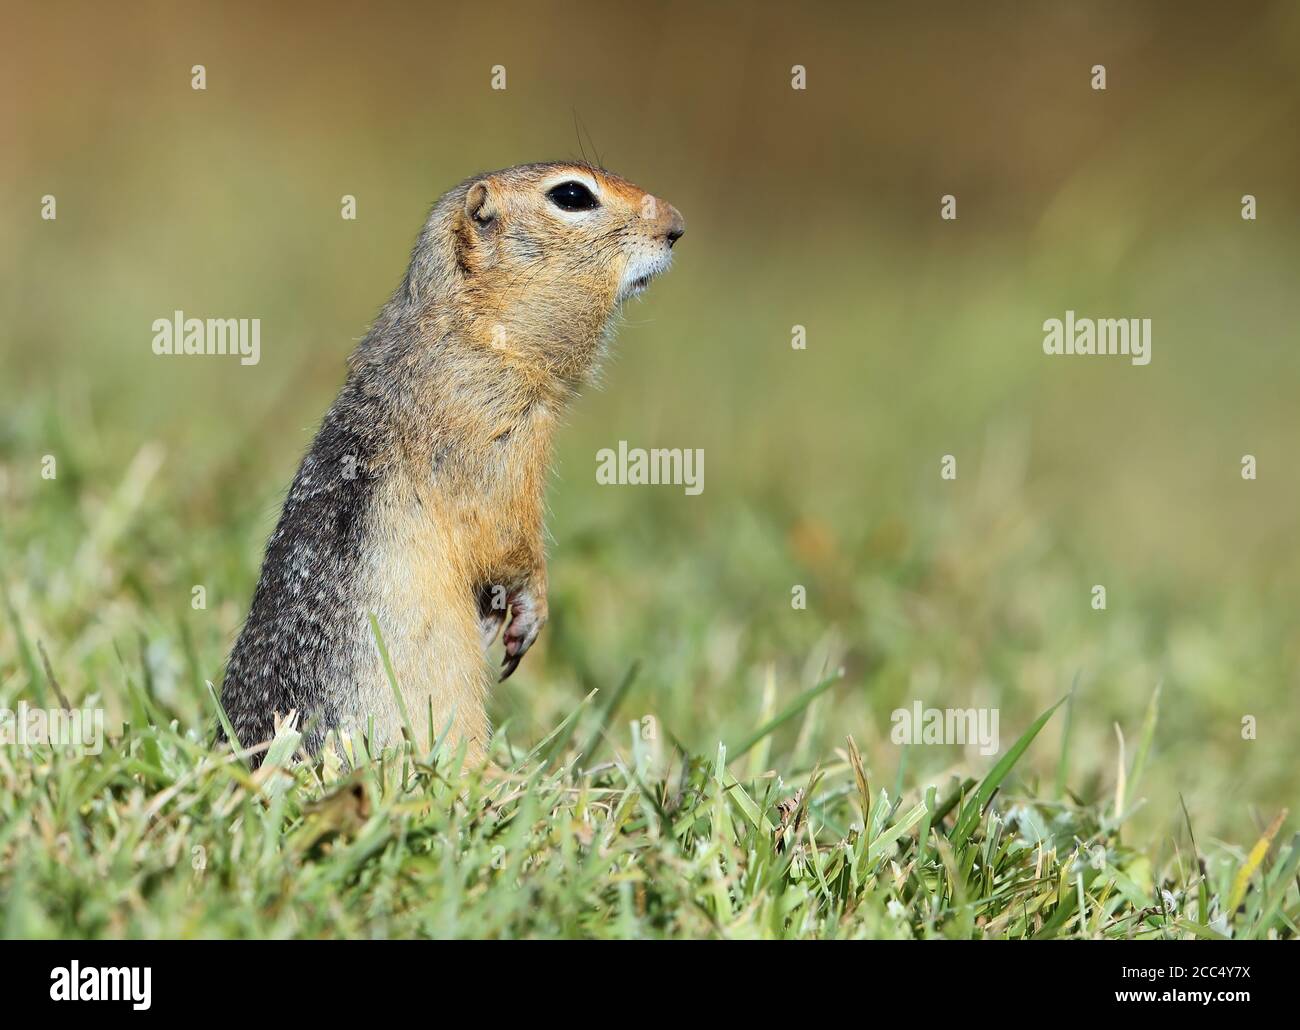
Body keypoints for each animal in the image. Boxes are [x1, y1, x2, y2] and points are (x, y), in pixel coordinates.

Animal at [219, 162, 685, 767]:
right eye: (573, 196)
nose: (676, 226)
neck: (472, 327)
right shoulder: (498, 442)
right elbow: (508, 536)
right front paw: (530, 612)